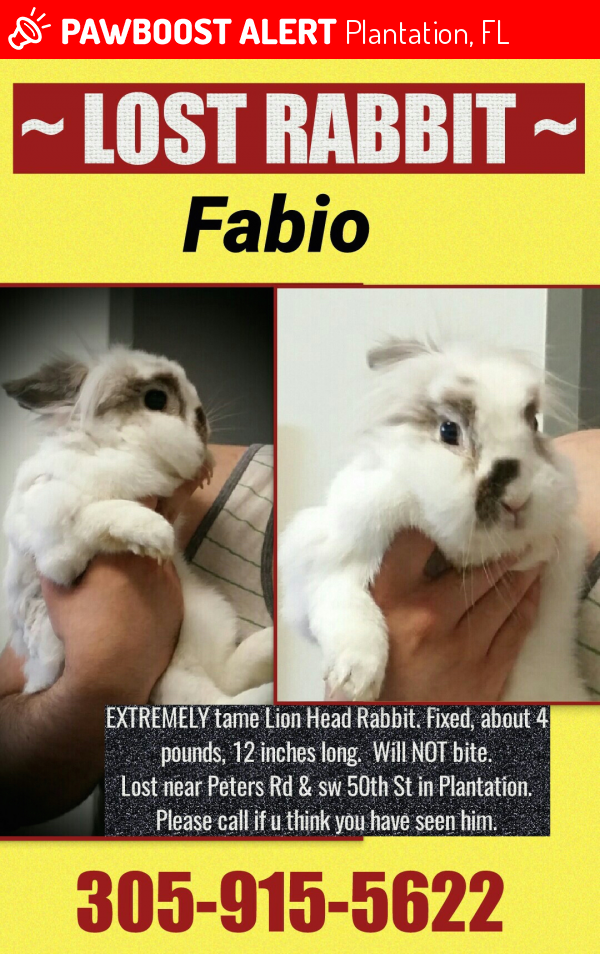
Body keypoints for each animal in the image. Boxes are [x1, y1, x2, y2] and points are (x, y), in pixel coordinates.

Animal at [2, 348, 273, 704]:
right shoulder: (57, 552)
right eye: (156, 399)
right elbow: (101, 513)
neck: (115, 448)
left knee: (226, 680)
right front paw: (155, 534)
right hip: (175, 671)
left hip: (204, 618)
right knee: (219, 695)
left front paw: (205, 470)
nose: (204, 425)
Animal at [280, 338, 589, 703]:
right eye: (448, 431)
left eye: (534, 426)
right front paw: (356, 681)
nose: (517, 499)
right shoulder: (324, 555)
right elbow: (346, 605)